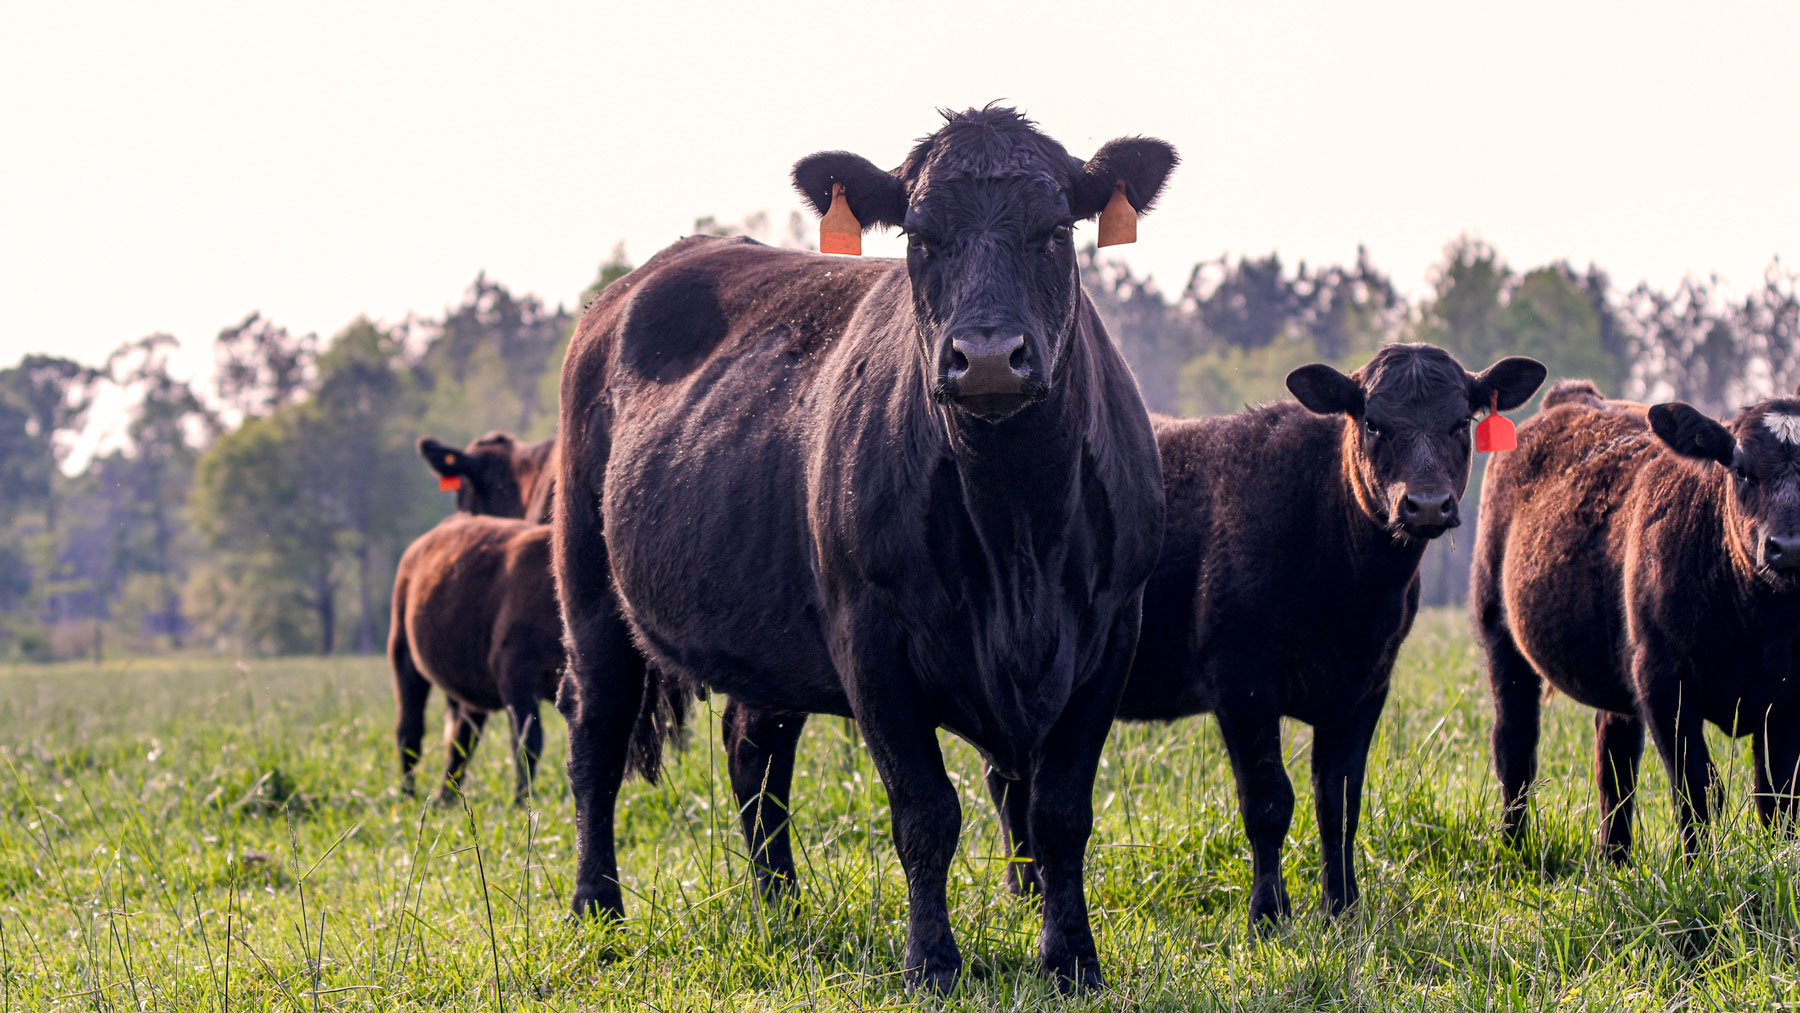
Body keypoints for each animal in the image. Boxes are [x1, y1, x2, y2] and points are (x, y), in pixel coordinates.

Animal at [388, 435, 564, 802]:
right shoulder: (515, 672)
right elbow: (528, 742)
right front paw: (521, 802)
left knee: (461, 738)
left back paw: (445, 797)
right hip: (403, 653)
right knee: (409, 731)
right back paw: (409, 795)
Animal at [552, 105, 1175, 991]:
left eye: (1056, 230)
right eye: (919, 234)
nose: (989, 357)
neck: (1016, 529)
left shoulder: (1111, 631)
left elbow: (1059, 812)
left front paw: (1072, 959)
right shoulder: (870, 639)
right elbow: (926, 812)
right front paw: (933, 962)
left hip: (761, 624)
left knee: (753, 753)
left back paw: (780, 904)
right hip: (589, 584)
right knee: (596, 737)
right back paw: (597, 907)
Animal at [1474, 381, 1800, 860]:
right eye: (1742, 471)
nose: (1788, 547)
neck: (1760, 630)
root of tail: (1574, 395)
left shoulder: (1786, 700)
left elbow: (1778, 795)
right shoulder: (1661, 680)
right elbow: (1697, 787)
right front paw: (1699, 868)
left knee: (1614, 762)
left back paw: (1616, 858)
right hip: (1500, 634)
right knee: (1515, 748)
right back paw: (1514, 848)